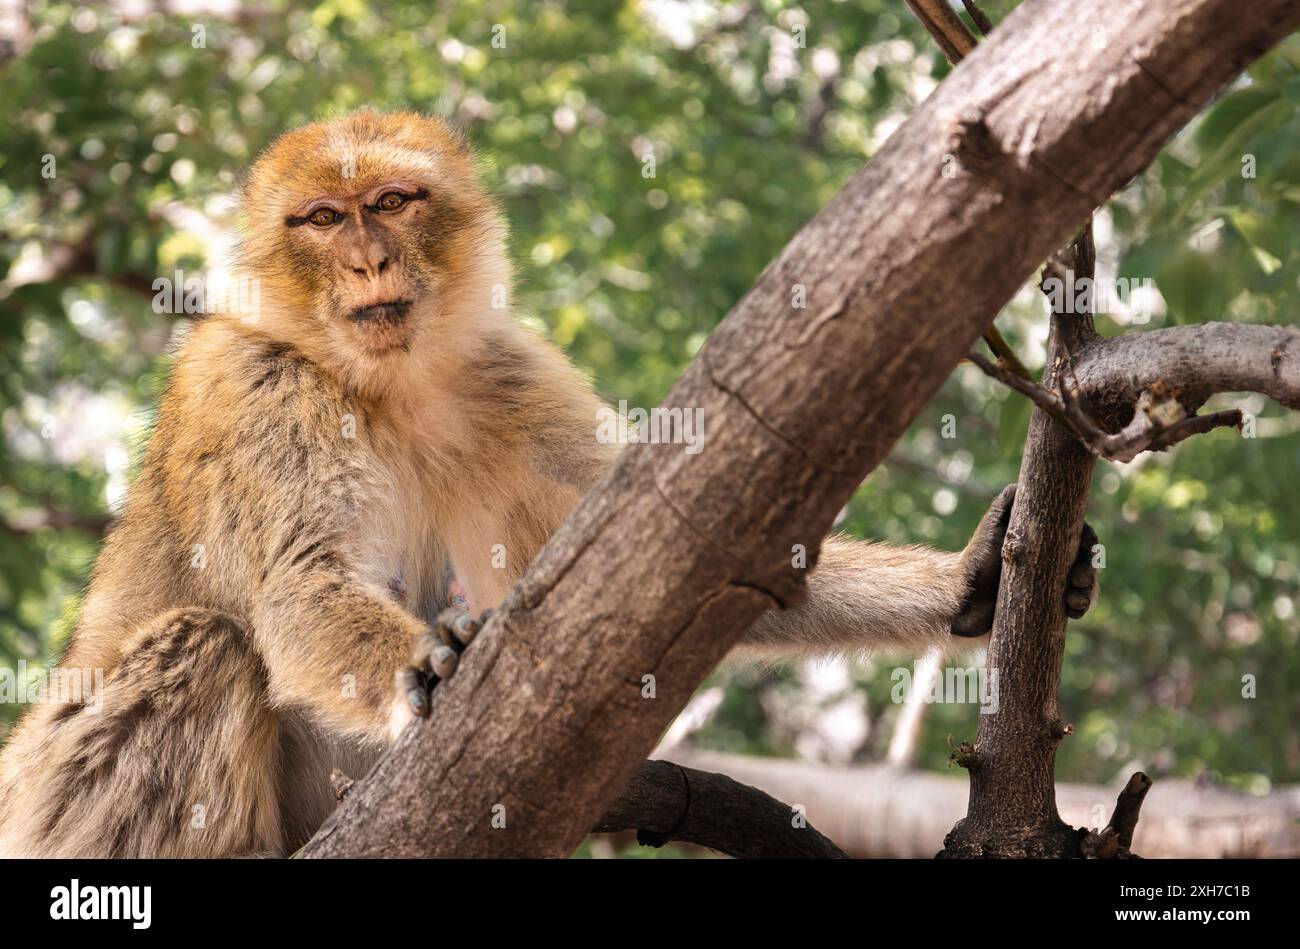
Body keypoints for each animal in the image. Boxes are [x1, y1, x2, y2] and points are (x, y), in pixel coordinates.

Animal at [0, 110, 1097, 857]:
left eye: (391, 203)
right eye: (318, 219)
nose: (364, 260)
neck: (386, 387)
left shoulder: (508, 376)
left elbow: (696, 557)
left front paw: (971, 583)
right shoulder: (258, 386)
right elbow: (296, 583)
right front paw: (430, 664)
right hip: (53, 803)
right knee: (209, 643)